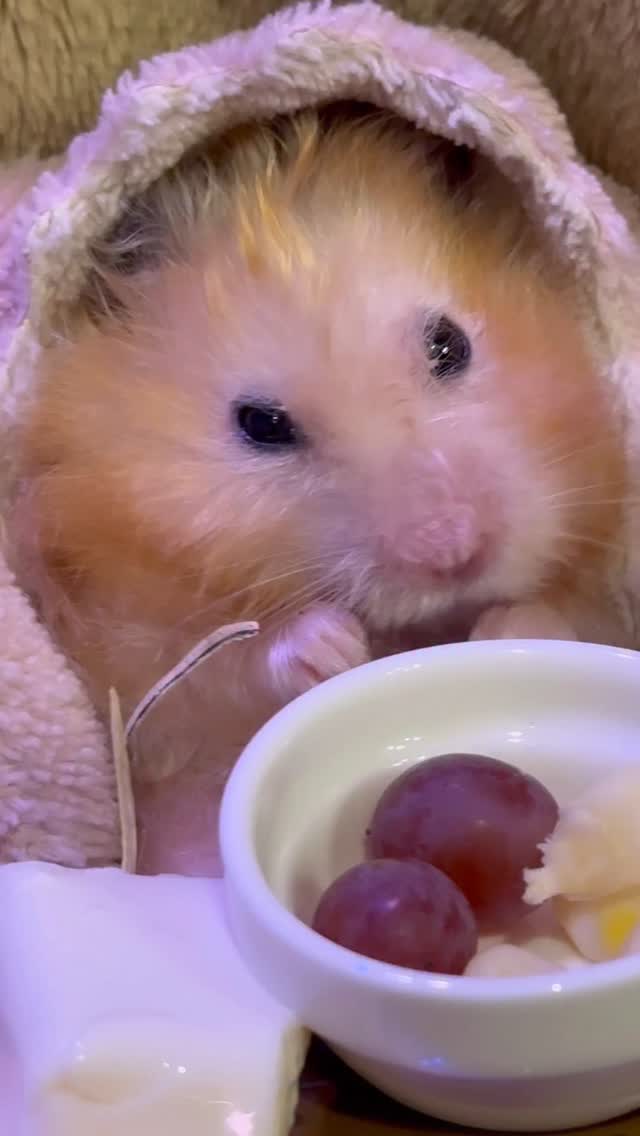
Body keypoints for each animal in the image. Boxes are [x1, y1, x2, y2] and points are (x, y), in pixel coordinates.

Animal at [12, 107, 628, 873]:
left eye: (450, 344)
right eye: (261, 424)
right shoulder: (113, 650)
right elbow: (205, 674)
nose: (454, 551)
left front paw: (509, 627)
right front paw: (330, 645)